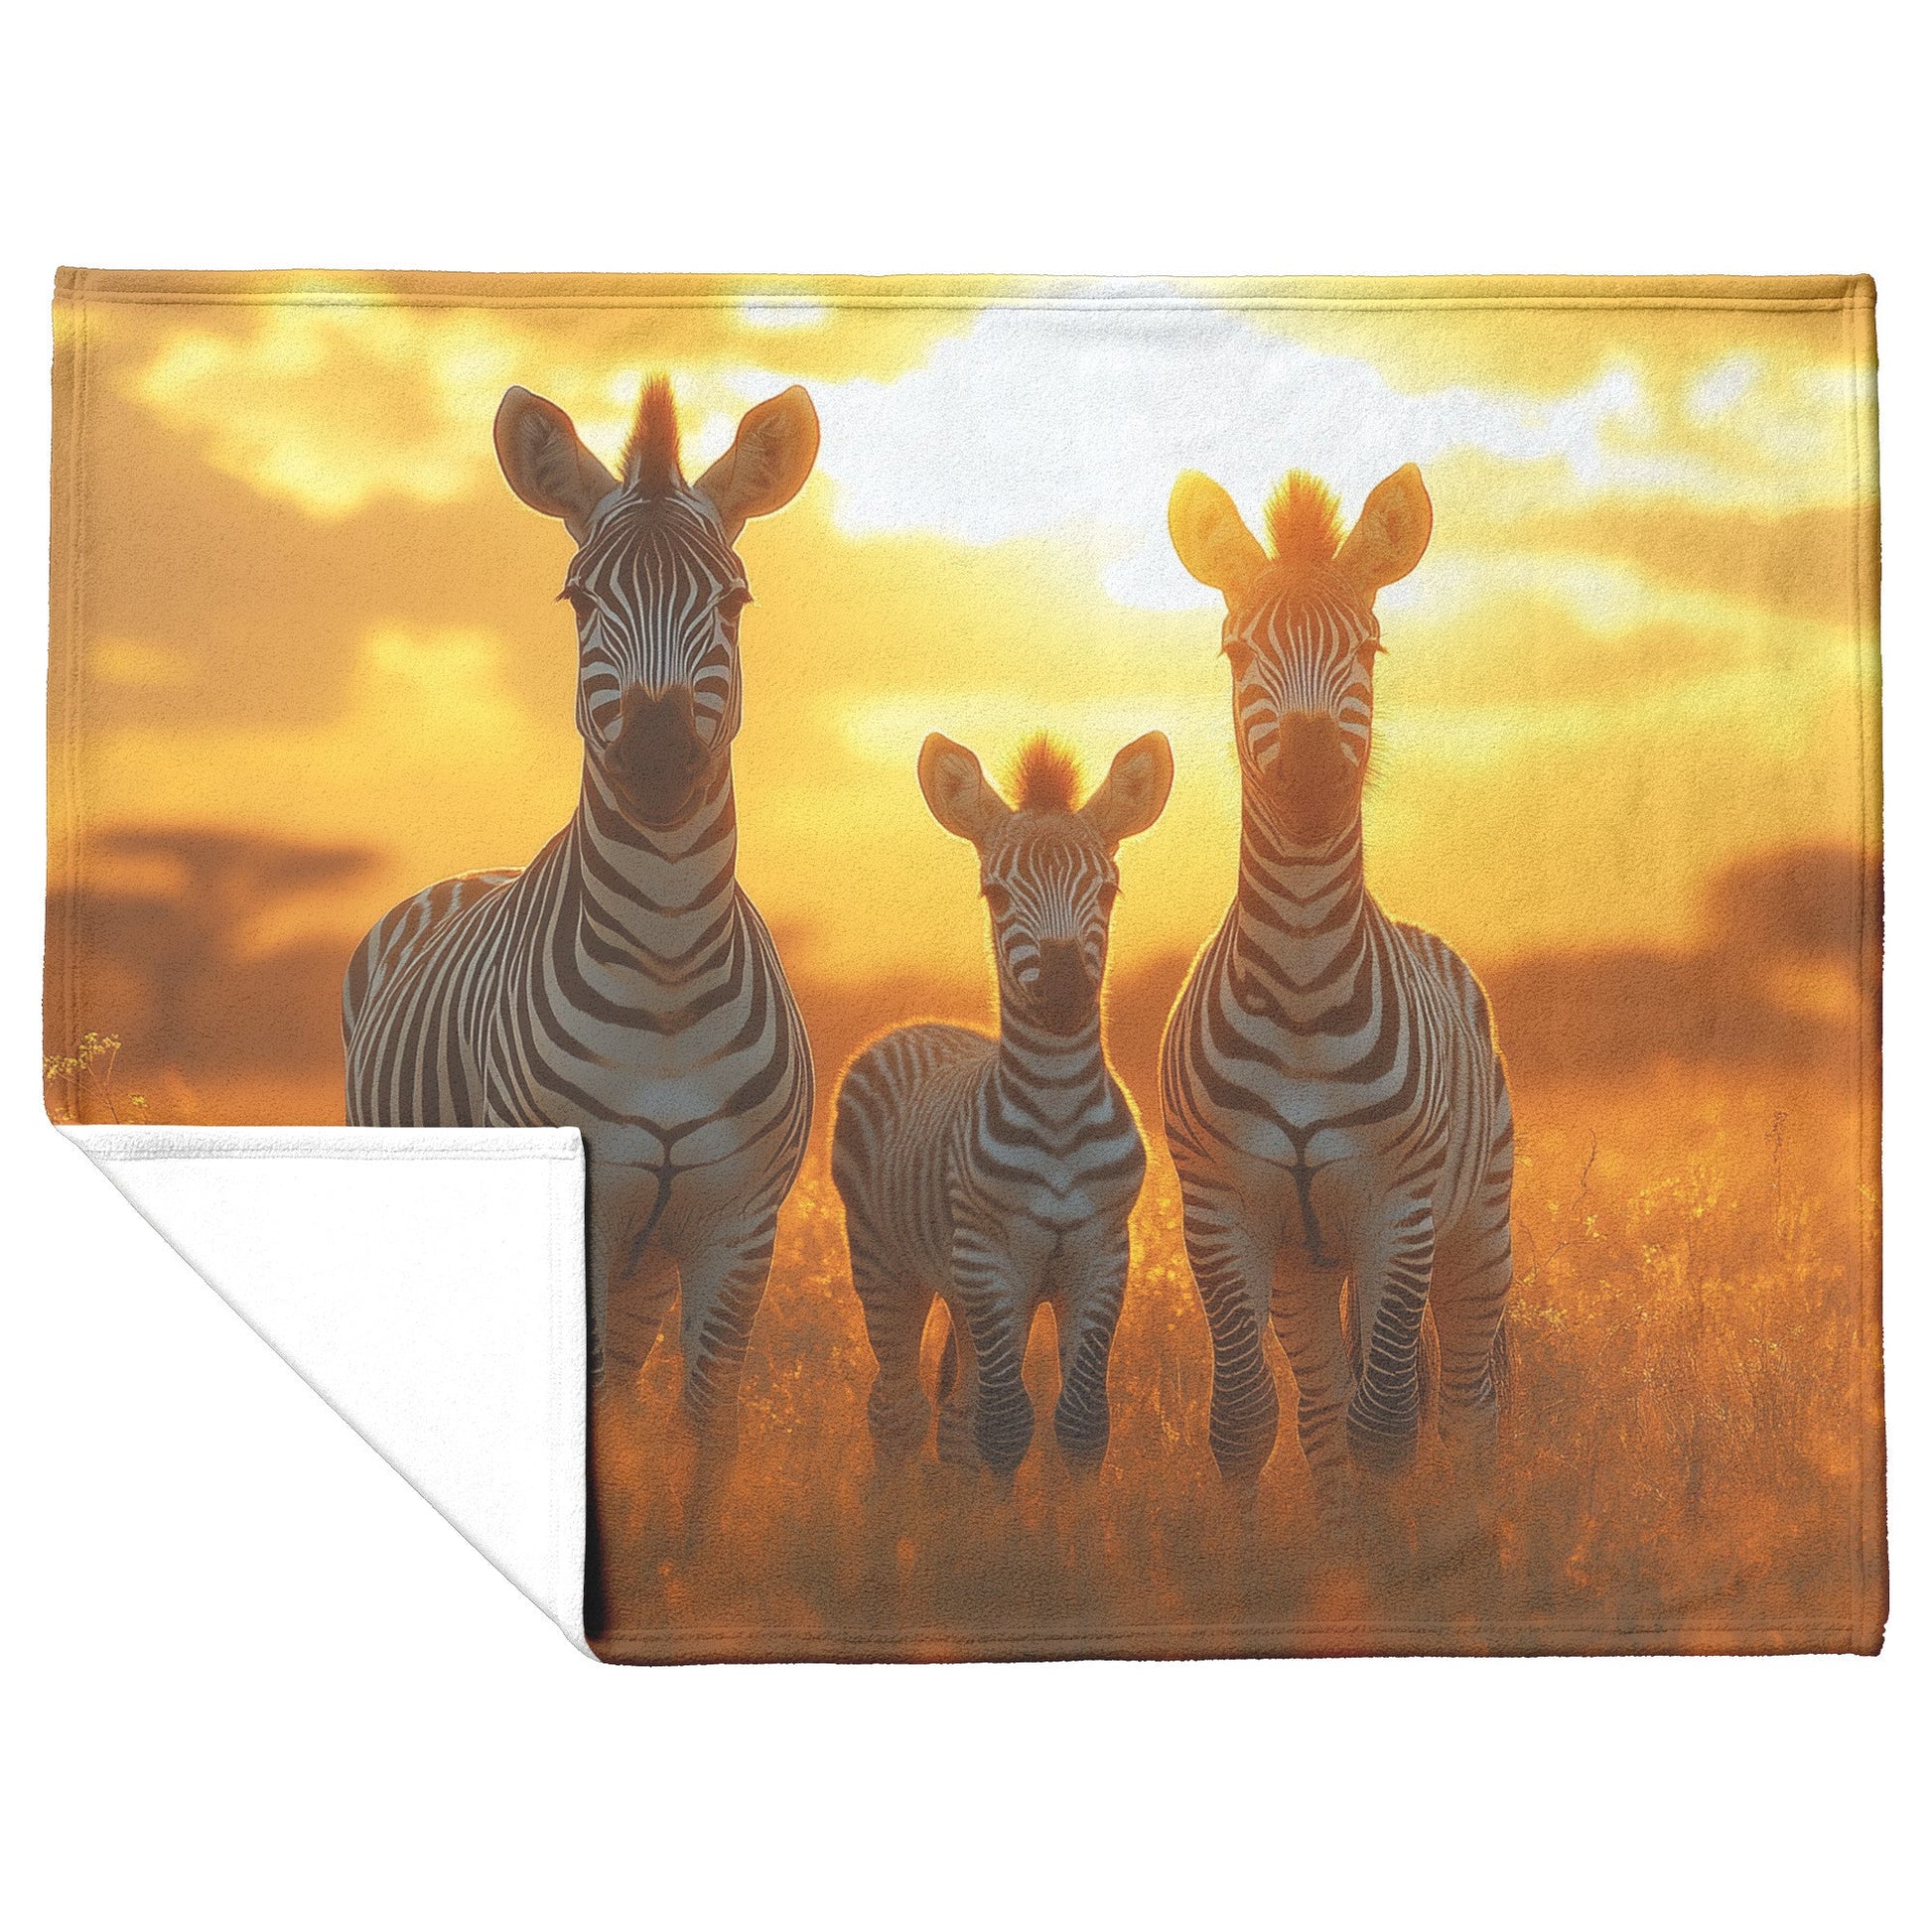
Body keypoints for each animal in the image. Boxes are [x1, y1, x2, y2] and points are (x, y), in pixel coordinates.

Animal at [342, 372, 821, 1534]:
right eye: (578, 601)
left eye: (733, 601)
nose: (656, 757)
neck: (666, 962)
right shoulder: (588, 1207)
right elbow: (589, 1410)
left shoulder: (735, 1224)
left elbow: (699, 1418)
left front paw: (684, 1560)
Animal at [832, 729, 1173, 1480]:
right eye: (993, 893)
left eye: (1109, 890)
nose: (1066, 990)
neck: (1059, 1107)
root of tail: (921, 1024)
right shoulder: (990, 1261)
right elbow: (1005, 1426)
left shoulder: (1102, 1258)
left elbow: (1079, 1423)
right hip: (886, 1261)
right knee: (898, 1409)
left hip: (963, 1291)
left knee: (956, 1417)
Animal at [1160, 460, 1514, 1527]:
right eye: (1237, 650)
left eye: (1368, 646)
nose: (1316, 770)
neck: (1305, 984)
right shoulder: (1224, 1213)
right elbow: (1247, 1422)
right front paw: (1293, 1556)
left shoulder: (1396, 1207)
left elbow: (1389, 1425)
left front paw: (1391, 1555)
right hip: (1306, 1268)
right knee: (1321, 1402)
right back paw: (1337, 1527)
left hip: (1477, 1230)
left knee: (1469, 1405)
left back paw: (1473, 1528)